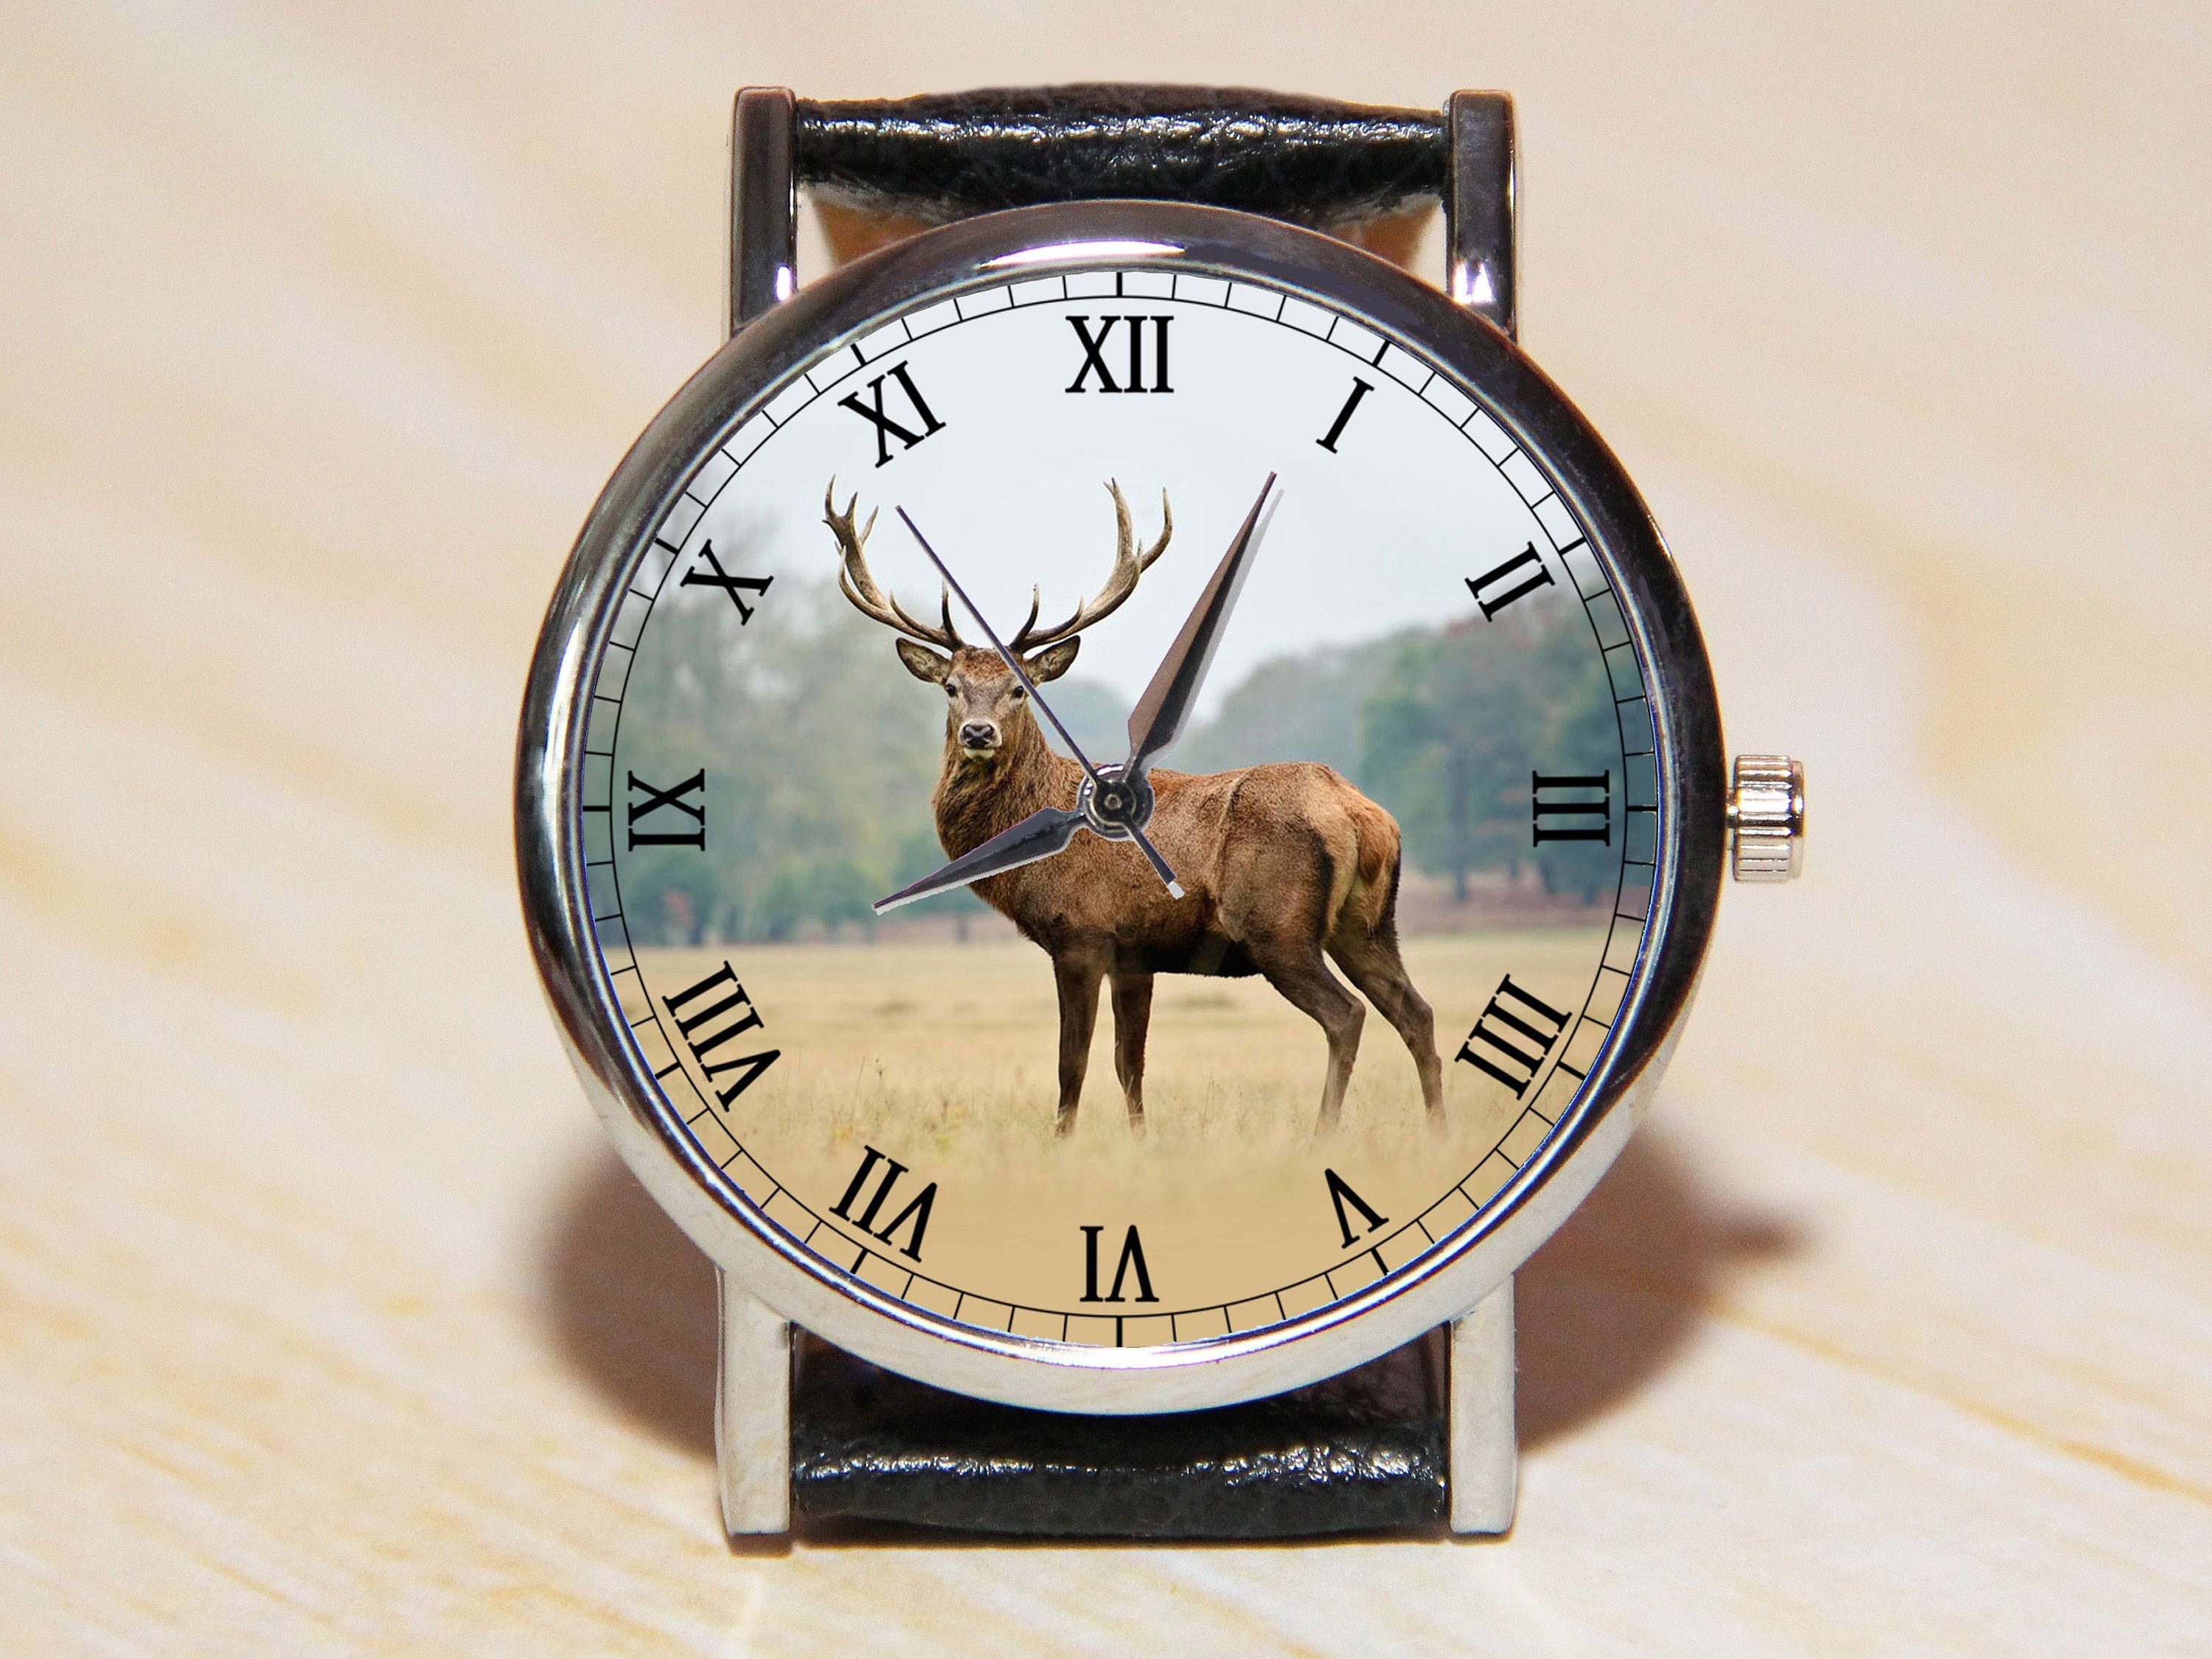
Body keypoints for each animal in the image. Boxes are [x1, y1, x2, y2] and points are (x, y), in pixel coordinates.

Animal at [823, 480, 1445, 1137]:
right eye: (951, 687)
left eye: (1021, 689)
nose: (978, 732)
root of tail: (1363, 816)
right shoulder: (1135, 954)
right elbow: (1131, 1064)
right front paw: (1140, 1139)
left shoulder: (1081, 934)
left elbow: (1072, 1063)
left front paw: (1062, 1140)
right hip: (1368, 923)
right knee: (1417, 1012)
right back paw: (1438, 1130)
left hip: (1278, 927)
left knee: (1346, 1014)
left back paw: (1323, 1134)